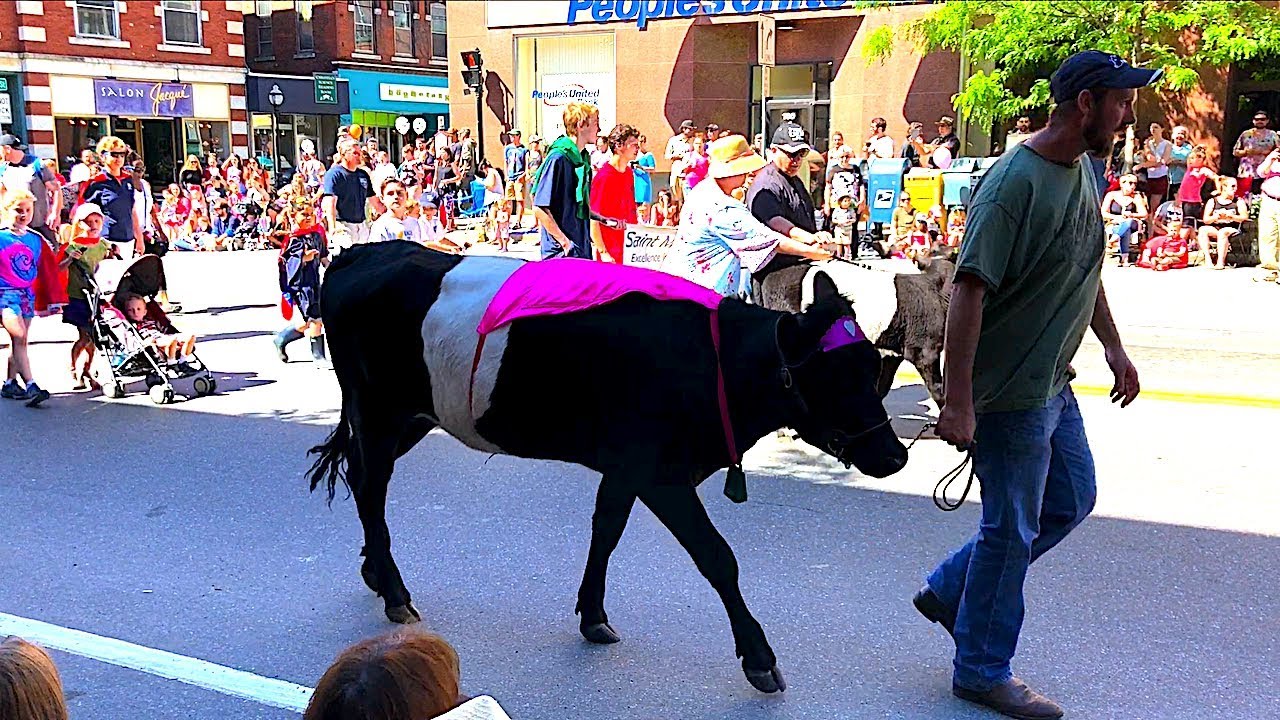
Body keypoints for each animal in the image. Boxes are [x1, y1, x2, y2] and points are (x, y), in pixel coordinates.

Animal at [306, 242, 908, 694]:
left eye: (871, 365)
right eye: (835, 375)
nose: (896, 455)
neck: (712, 361)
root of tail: (360, 251)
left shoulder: (628, 467)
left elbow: (606, 531)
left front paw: (592, 614)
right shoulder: (661, 474)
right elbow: (718, 558)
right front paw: (759, 657)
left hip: (409, 416)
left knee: (364, 481)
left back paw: (376, 572)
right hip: (376, 412)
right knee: (370, 487)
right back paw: (395, 592)